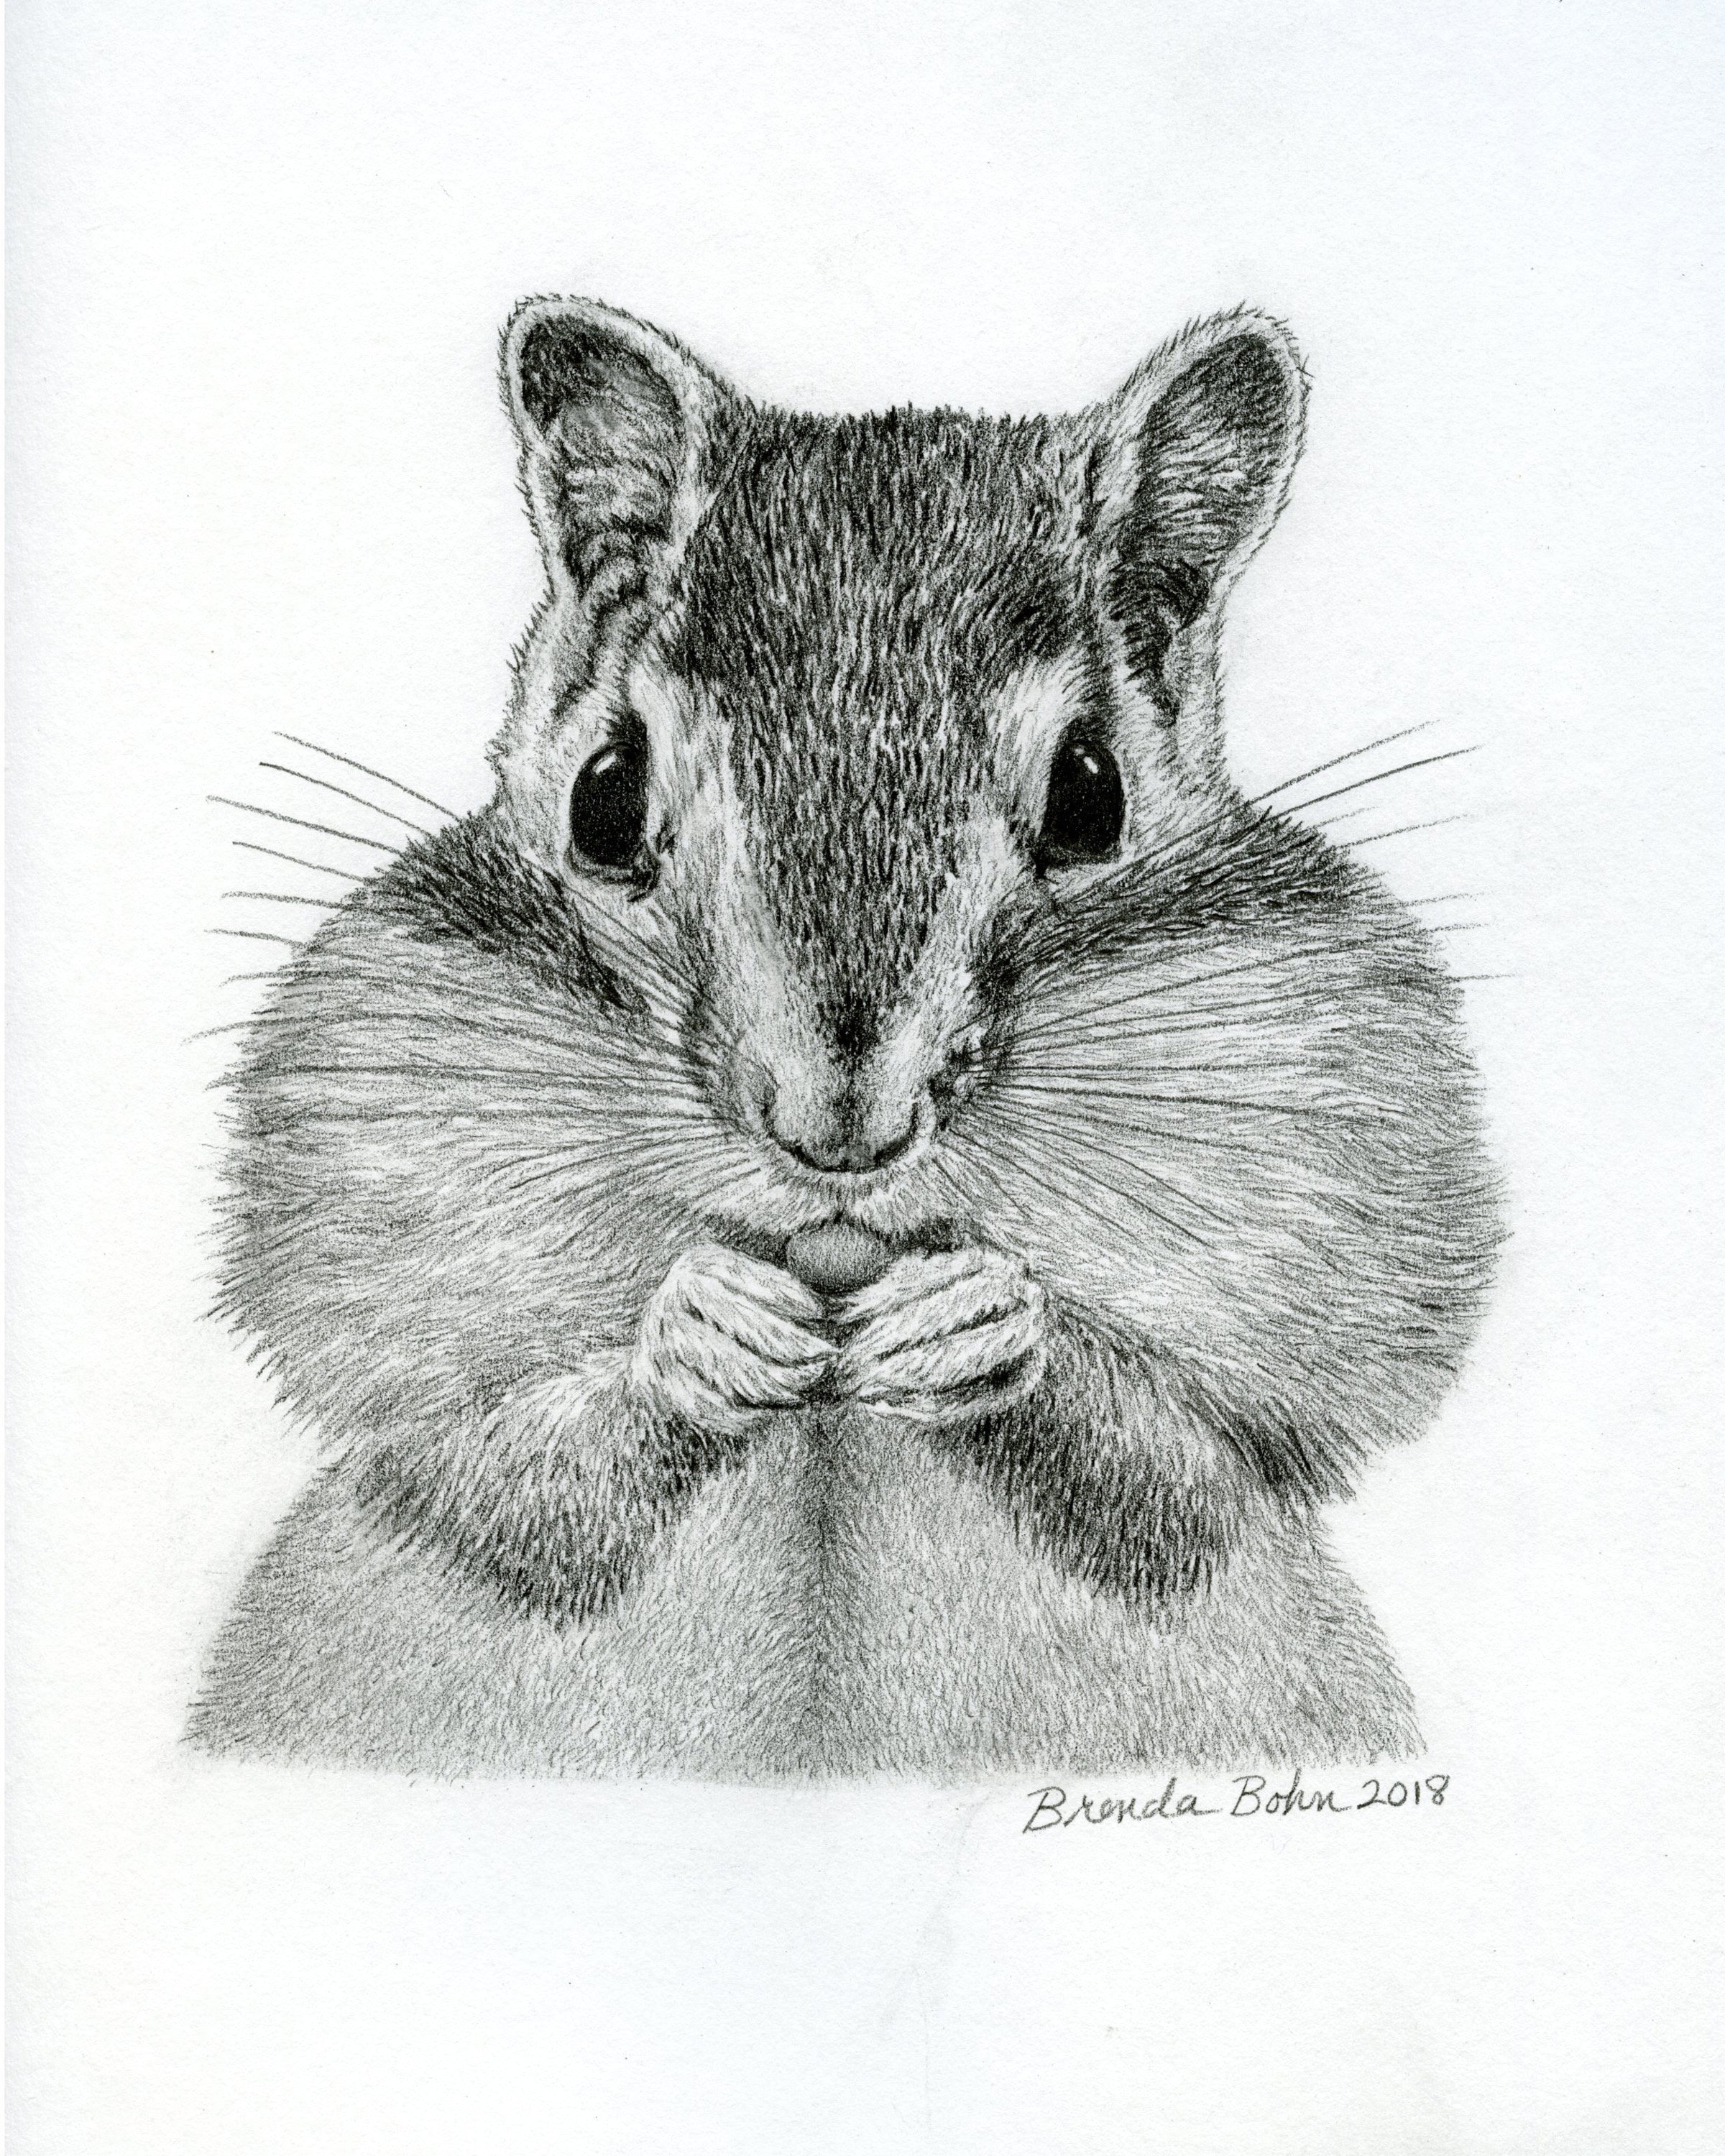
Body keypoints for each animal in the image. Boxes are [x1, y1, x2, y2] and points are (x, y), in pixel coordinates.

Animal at [188, 296, 1502, 1778]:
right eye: (603, 796)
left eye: (1092, 797)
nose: (840, 1138)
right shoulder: (364, 1144)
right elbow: (499, 1457)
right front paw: (703, 1329)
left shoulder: (1356, 1144)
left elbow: (1179, 1459)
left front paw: (976, 1320)